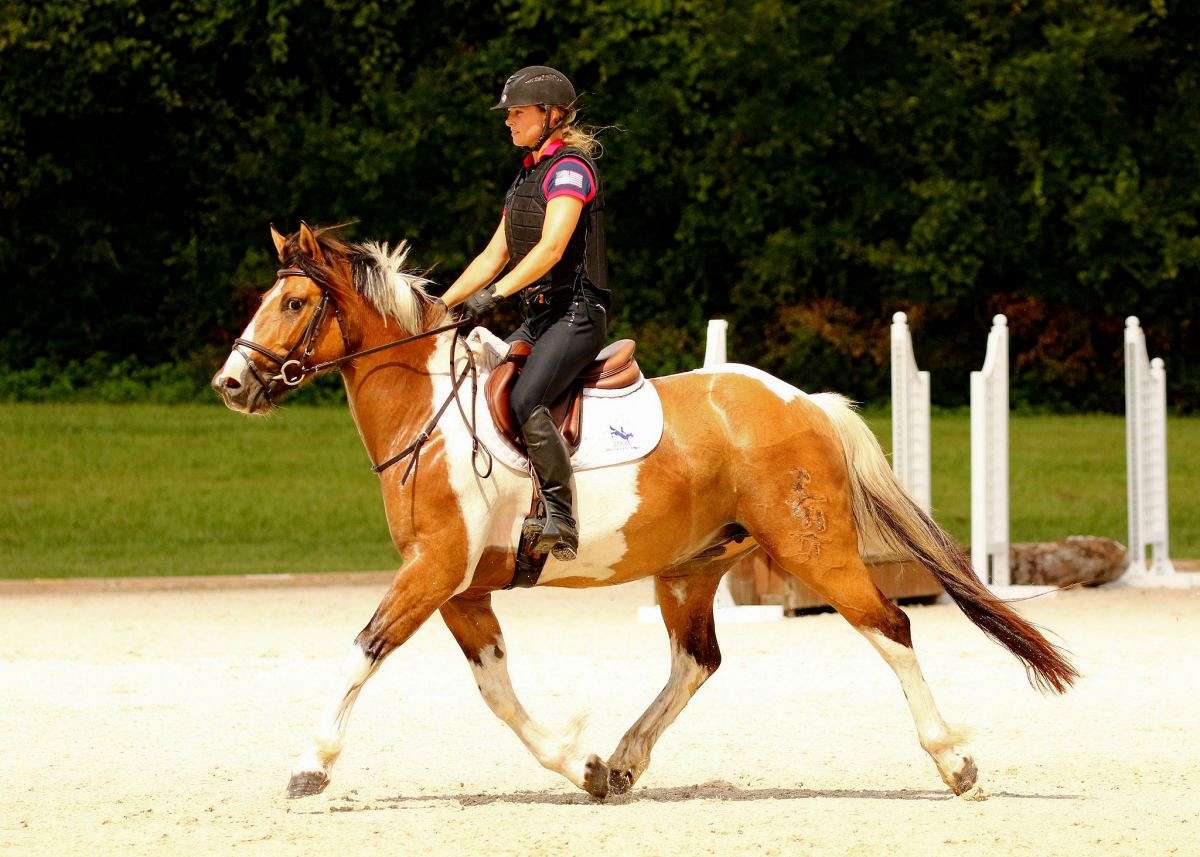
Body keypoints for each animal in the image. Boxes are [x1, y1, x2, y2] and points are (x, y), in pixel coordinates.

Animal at [212, 222, 1076, 802]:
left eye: (295, 301)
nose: (231, 384)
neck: (430, 413)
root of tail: (806, 401)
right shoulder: (460, 588)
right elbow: (496, 690)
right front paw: (582, 764)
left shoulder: (432, 570)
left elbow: (364, 650)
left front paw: (311, 763)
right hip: (692, 568)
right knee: (697, 659)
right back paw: (626, 759)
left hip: (815, 550)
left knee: (890, 627)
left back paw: (955, 761)